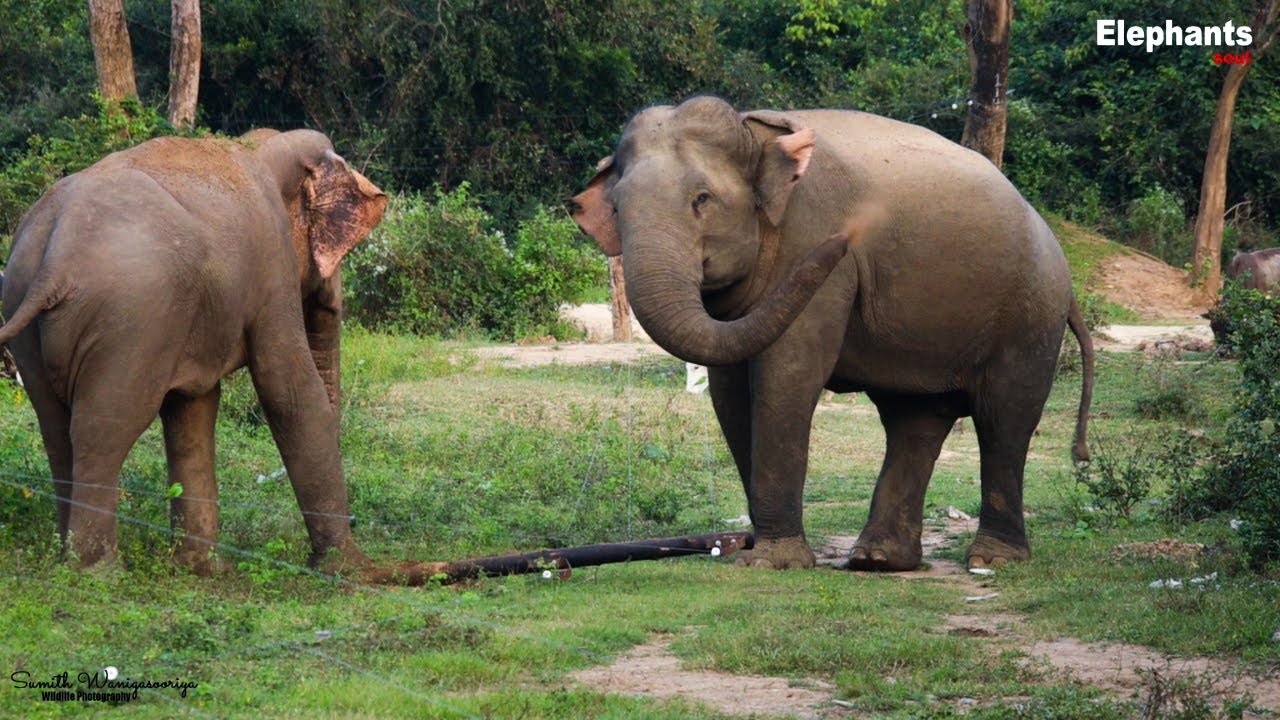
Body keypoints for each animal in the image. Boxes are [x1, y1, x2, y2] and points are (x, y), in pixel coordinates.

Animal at [0, 129, 386, 574]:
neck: (263, 146)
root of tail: (54, 259)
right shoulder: (273, 263)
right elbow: (287, 391)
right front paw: (344, 570)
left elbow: (194, 405)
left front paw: (201, 568)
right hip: (131, 321)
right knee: (104, 427)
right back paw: (101, 570)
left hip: (26, 307)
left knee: (56, 428)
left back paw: (70, 559)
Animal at [570, 96, 1094, 571]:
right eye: (616, 209)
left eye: (703, 200)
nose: (852, 237)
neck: (755, 131)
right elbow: (729, 392)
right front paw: (766, 552)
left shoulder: (814, 242)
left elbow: (788, 377)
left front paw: (771, 562)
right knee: (915, 420)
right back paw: (879, 560)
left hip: (1029, 315)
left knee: (1004, 418)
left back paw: (993, 559)